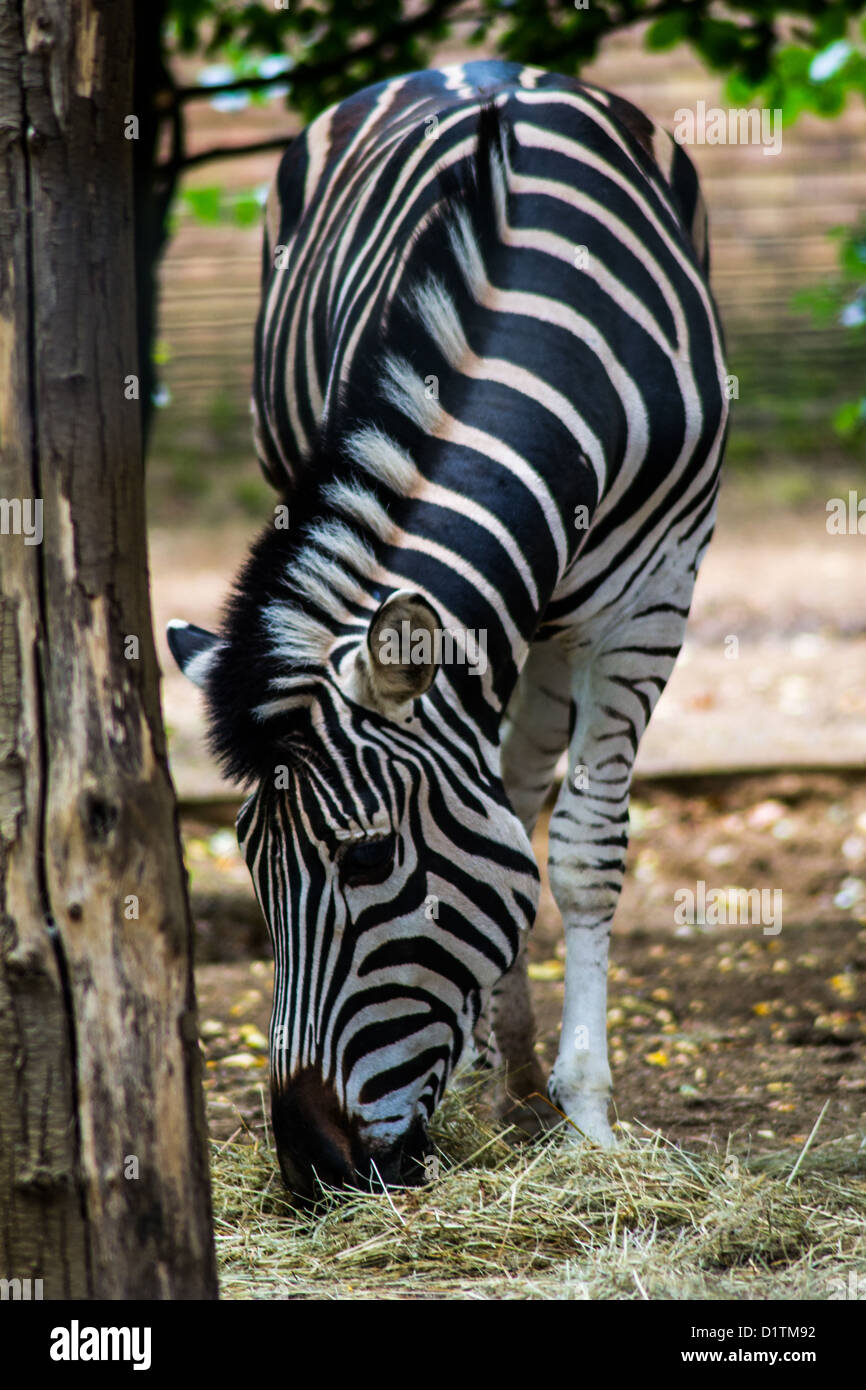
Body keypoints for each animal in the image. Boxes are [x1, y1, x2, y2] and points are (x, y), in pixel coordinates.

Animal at [168, 60, 728, 1199]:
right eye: (252, 869)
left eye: (371, 856)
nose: (312, 1168)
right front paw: (486, 1076)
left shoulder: (653, 596)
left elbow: (583, 848)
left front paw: (587, 1114)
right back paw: (486, 1068)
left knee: (524, 785)